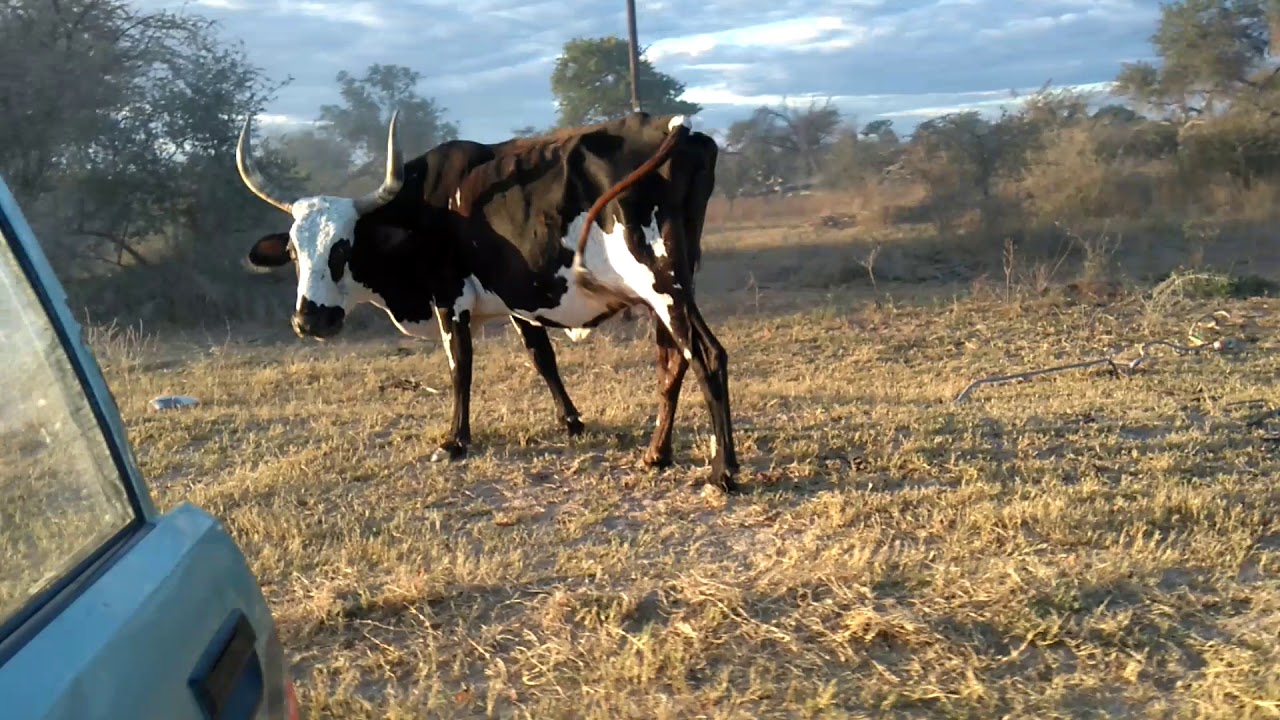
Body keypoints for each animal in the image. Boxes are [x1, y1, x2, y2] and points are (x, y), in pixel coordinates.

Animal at [237, 110, 740, 492]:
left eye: (343, 248)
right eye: (293, 252)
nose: (310, 320)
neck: (424, 209)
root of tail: (673, 126)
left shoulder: (450, 299)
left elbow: (460, 367)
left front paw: (455, 441)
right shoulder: (520, 303)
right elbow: (542, 358)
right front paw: (571, 421)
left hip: (662, 283)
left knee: (707, 357)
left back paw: (723, 471)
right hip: (667, 292)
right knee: (672, 362)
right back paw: (657, 454)